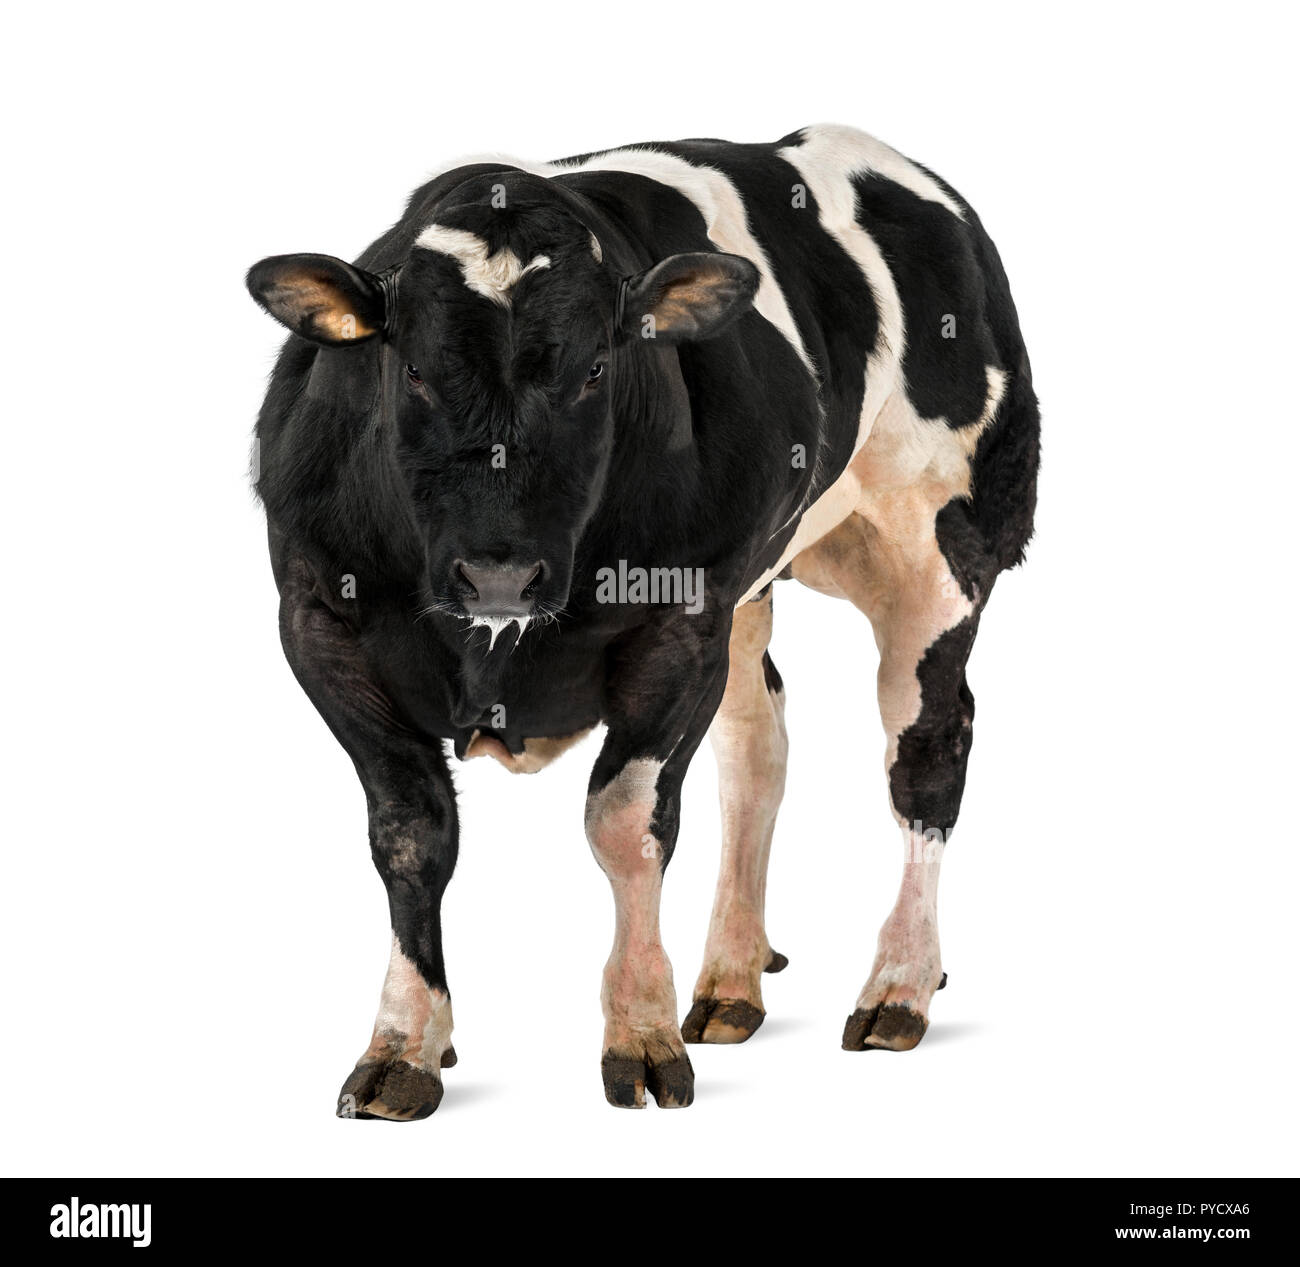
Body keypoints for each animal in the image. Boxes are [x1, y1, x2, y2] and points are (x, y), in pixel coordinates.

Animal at [246, 124, 1039, 1118]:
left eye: (595, 369)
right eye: (413, 368)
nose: (499, 571)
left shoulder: (679, 623)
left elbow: (626, 822)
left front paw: (641, 1032)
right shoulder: (318, 621)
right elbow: (411, 831)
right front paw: (405, 1044)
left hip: (939, 547)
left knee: (927, 749)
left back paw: (898, 984)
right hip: (752, 594)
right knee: (758, 748)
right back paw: (732, 980)